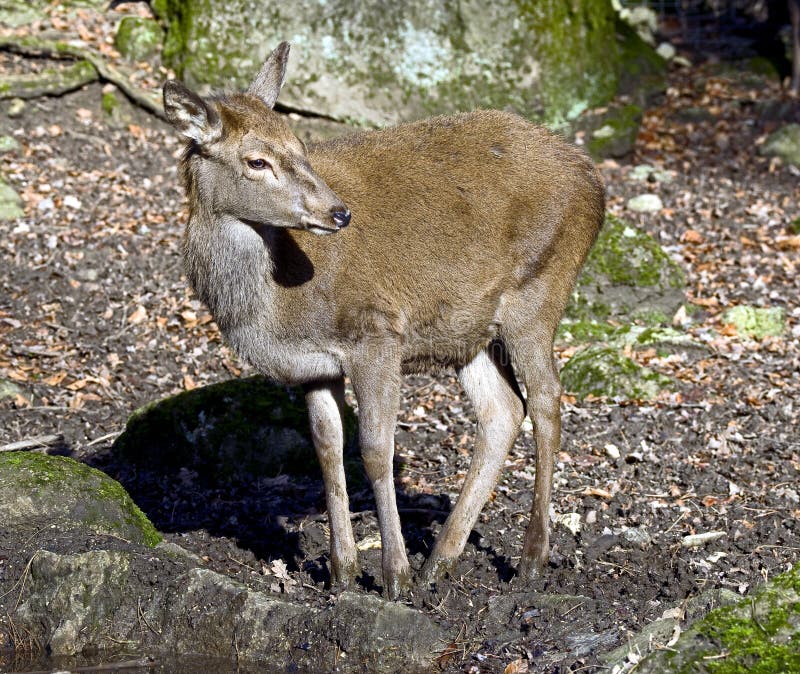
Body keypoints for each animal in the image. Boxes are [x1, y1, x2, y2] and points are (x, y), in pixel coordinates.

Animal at [162, 42, 605, 599]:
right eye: (256, 160)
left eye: (300, 144)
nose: (337, 212)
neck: (275, 309)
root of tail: (595, 183)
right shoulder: (314, 365)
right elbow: (328, 450)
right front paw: (342, 571)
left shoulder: (375, 333)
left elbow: (375, 450)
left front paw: (394, 575)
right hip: (468, 329)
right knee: (504, 410)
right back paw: (441, 560)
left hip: (539, 292)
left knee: (547, 401)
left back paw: (530, 559)